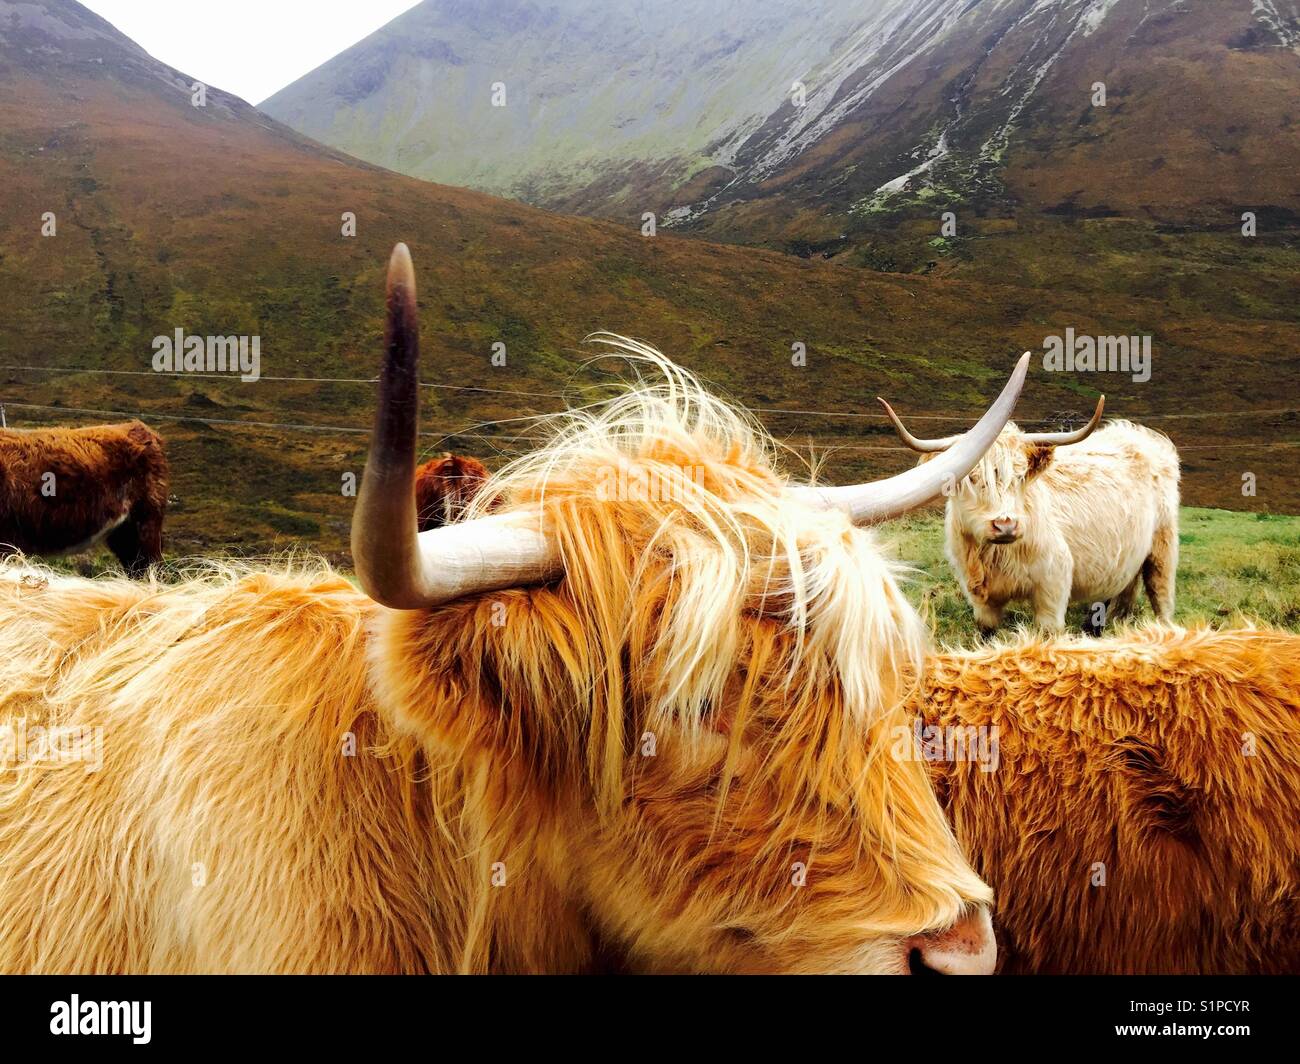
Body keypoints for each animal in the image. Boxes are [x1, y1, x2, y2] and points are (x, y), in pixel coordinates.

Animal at [880, 396, 1179, 635]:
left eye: (1021, 475)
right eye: (972, 477)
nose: (1005, 525)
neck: (995, 558)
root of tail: (1137, 433)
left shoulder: (1052, 590)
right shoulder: (980, 600)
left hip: (1161, 552)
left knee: (1161, 598)